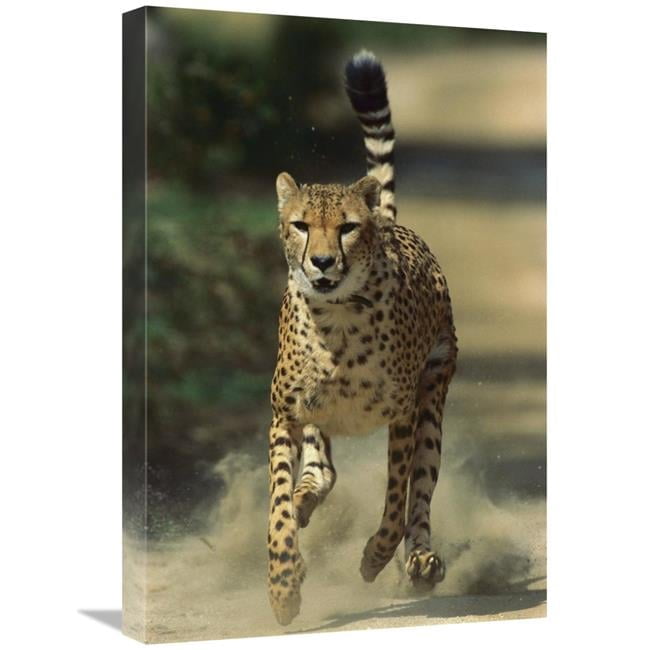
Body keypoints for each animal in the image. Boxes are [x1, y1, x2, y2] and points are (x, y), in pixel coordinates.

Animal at [267, 50, 457, 625]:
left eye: (347, 227)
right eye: (301, 225)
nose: (323, 262)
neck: (338, 322)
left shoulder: (404, 415)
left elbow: (396, 500)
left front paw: (376, 556)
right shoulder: (285, 414)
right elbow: (278, 504)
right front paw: (284, 585)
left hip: (434, 395)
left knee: (421, 494)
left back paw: (421, 561)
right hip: (317, 420)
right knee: (322, 471)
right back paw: (308, 499)